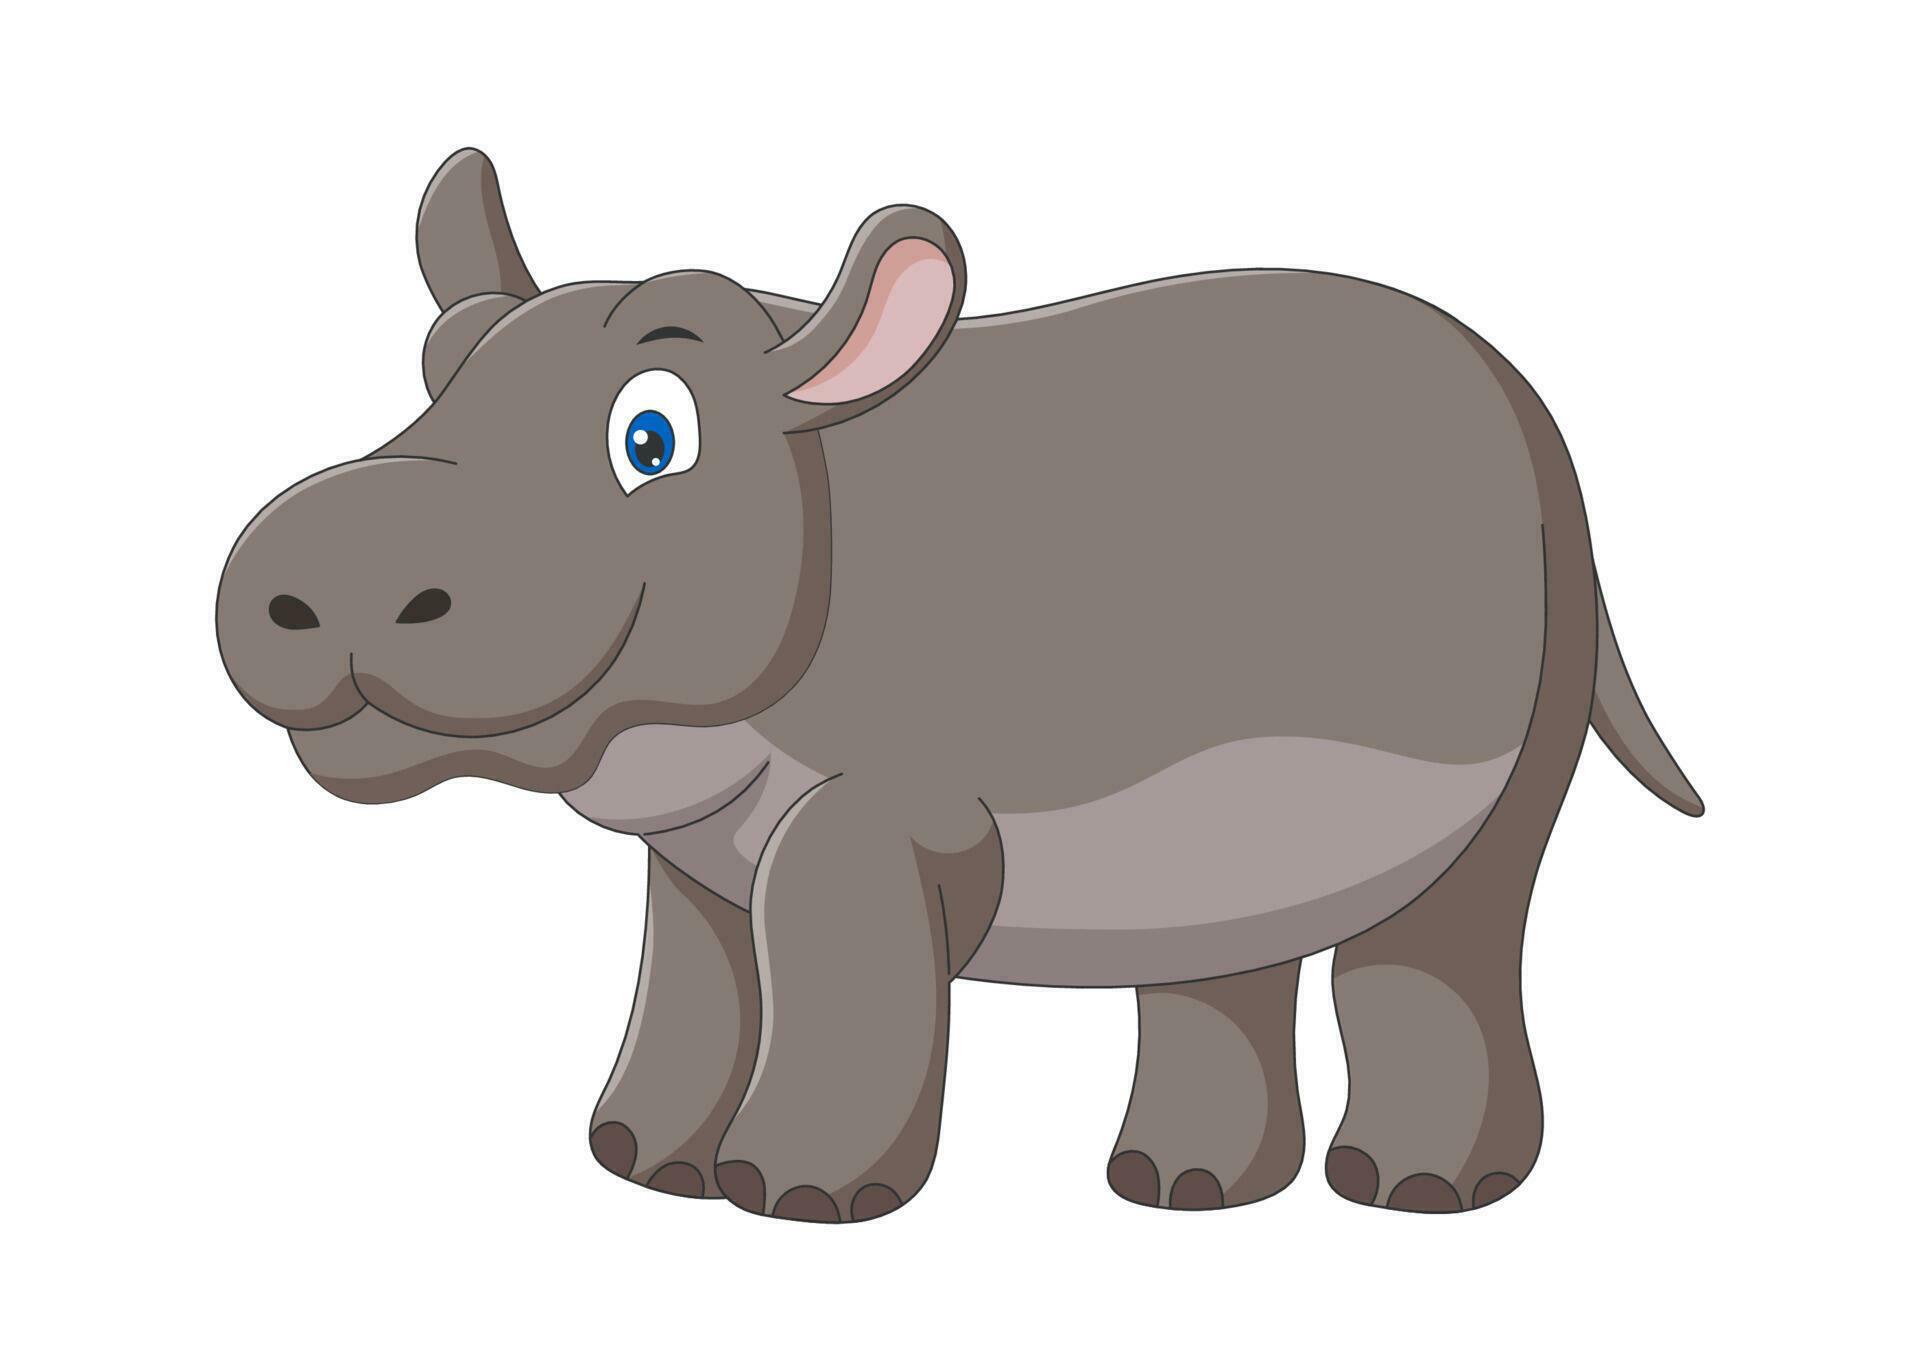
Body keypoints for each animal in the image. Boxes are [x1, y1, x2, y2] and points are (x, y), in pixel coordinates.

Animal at [216, 148, 1703, 1222]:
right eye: (434, 373)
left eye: (651, 437)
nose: (315, 562)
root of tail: (1530, 406)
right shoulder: (694, 854)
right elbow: (700, 982)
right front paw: (639, 1163)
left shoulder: (873, 816)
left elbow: (836, 974)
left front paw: (792, 1196)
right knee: (1228, 945)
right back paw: (1179, 1189)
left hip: (1537, 688)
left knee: (1445, 932)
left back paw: (1416, 1190)